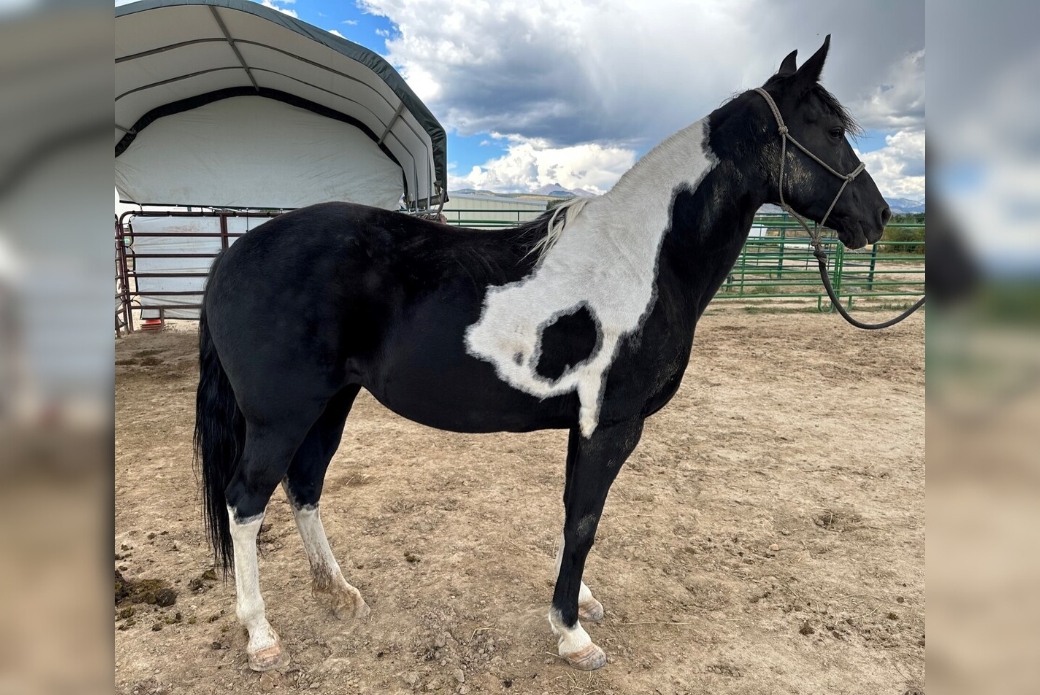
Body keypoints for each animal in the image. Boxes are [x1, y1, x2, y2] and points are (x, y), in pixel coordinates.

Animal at [194, 36, 890, 672]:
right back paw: (261, 636)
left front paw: (578, 603)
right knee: (245, 502)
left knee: (304, 485)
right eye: (832, 130)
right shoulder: (612, 424)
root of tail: (233, 254)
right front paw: (572, 634)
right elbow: (584, 520)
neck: (643, 258)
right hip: (281, 415)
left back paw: (338, 592)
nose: (880, 216)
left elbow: (570, 513)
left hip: (331, 402)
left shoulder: (585, 424)